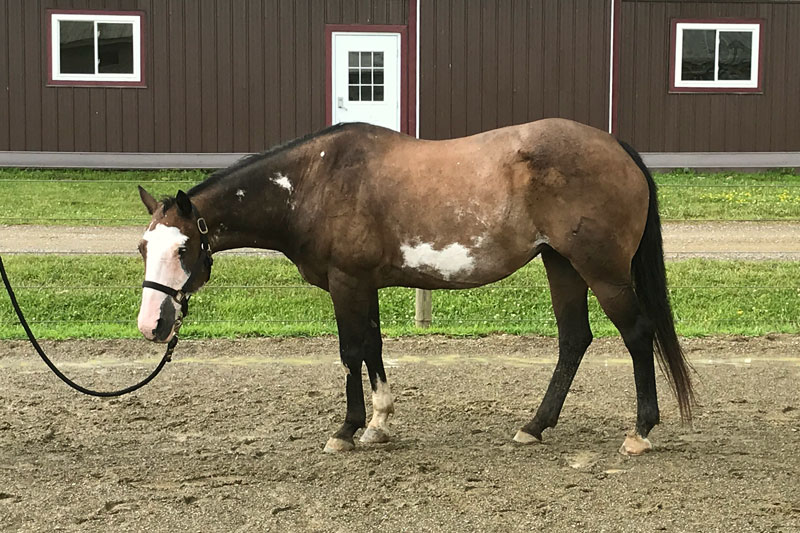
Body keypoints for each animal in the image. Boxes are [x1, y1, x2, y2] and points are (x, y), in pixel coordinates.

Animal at [136, 118, 694, 456]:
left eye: (182, 248)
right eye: (144, 248)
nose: (151, 325)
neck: (315, 182)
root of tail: (616, 147)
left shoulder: (346, 283)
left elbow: (350, 352)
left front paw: (347, 430)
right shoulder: (364, 284)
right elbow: (373, 348)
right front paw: (379, 424)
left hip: (601, 270)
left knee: (637, 336)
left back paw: (640, 432)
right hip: (561, 265)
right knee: (575, 339)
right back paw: (534, 426)